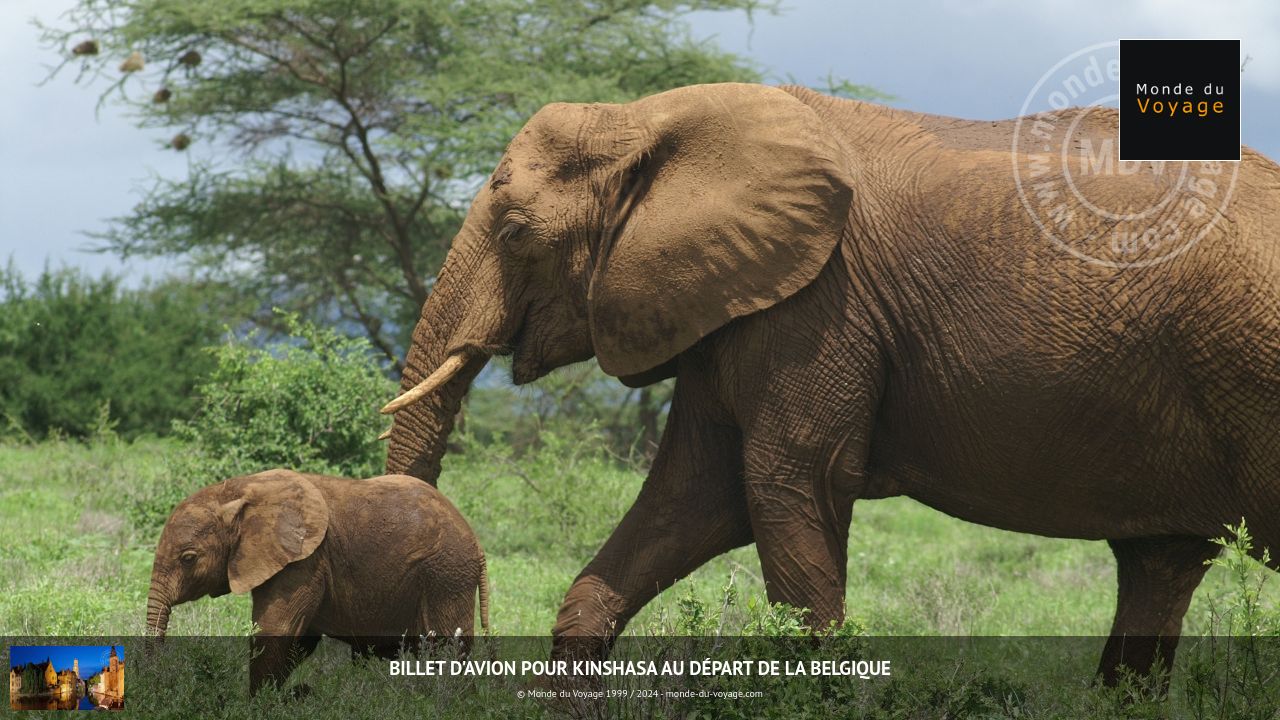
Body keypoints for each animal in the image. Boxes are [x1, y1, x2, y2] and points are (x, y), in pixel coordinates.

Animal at [145, 468, 488, 691]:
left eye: (188, 558)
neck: (238, 490)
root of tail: (477, 544)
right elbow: (299, 642)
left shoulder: (304, 561)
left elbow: (276, 630)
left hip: (446, 576)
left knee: (446, 648)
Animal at [378, 82, 1280, 676]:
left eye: (516, 233)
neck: (646, 118)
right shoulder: (737, 303)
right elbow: (697, 498)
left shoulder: (818, 306)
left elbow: (787, 486)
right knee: (1158, 569)